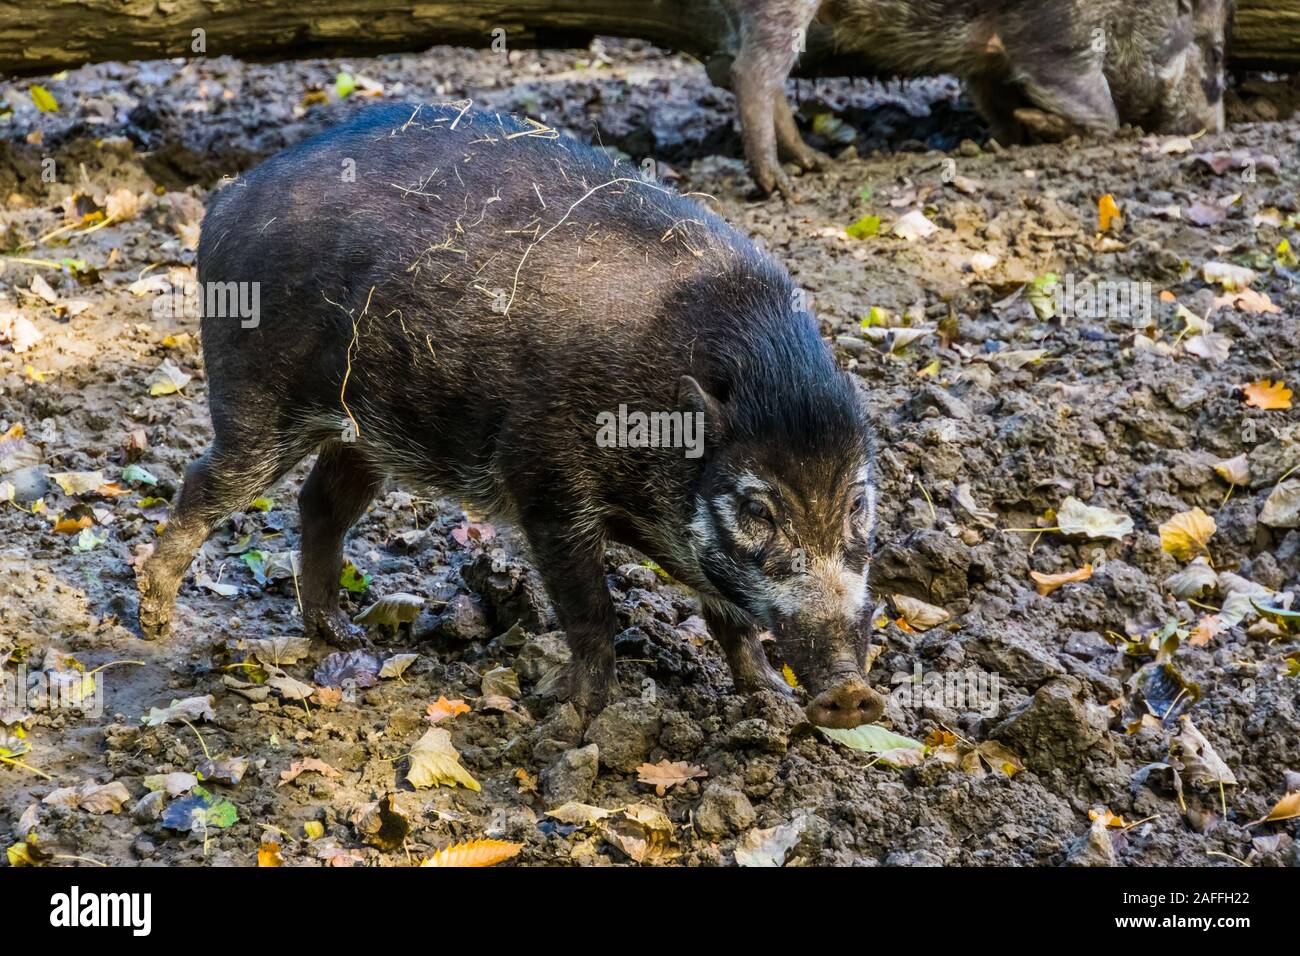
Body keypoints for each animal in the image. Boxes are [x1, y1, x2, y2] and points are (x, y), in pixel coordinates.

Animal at [136, 102, 886, 729]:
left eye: (857, 504)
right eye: (757, 509)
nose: (853, 695)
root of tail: (225, 200)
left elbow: (733, 620)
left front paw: (774, 701)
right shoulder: (545, 483)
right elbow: (593, 612)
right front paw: (571, 719)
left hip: (365, 429)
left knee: (321, 504)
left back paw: (342, 633)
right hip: (256, 395)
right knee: (208, 481)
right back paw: (155, 619)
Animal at [718, 0, 1231, 196]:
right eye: (1216, 54)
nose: (1219, 127)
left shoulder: (986, 64)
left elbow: (993, 101)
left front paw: (1010, 136)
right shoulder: (1054, 35)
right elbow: (1101, 111)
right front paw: (1034, 122)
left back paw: (816, 164)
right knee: (750, 72)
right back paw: (780, 185)